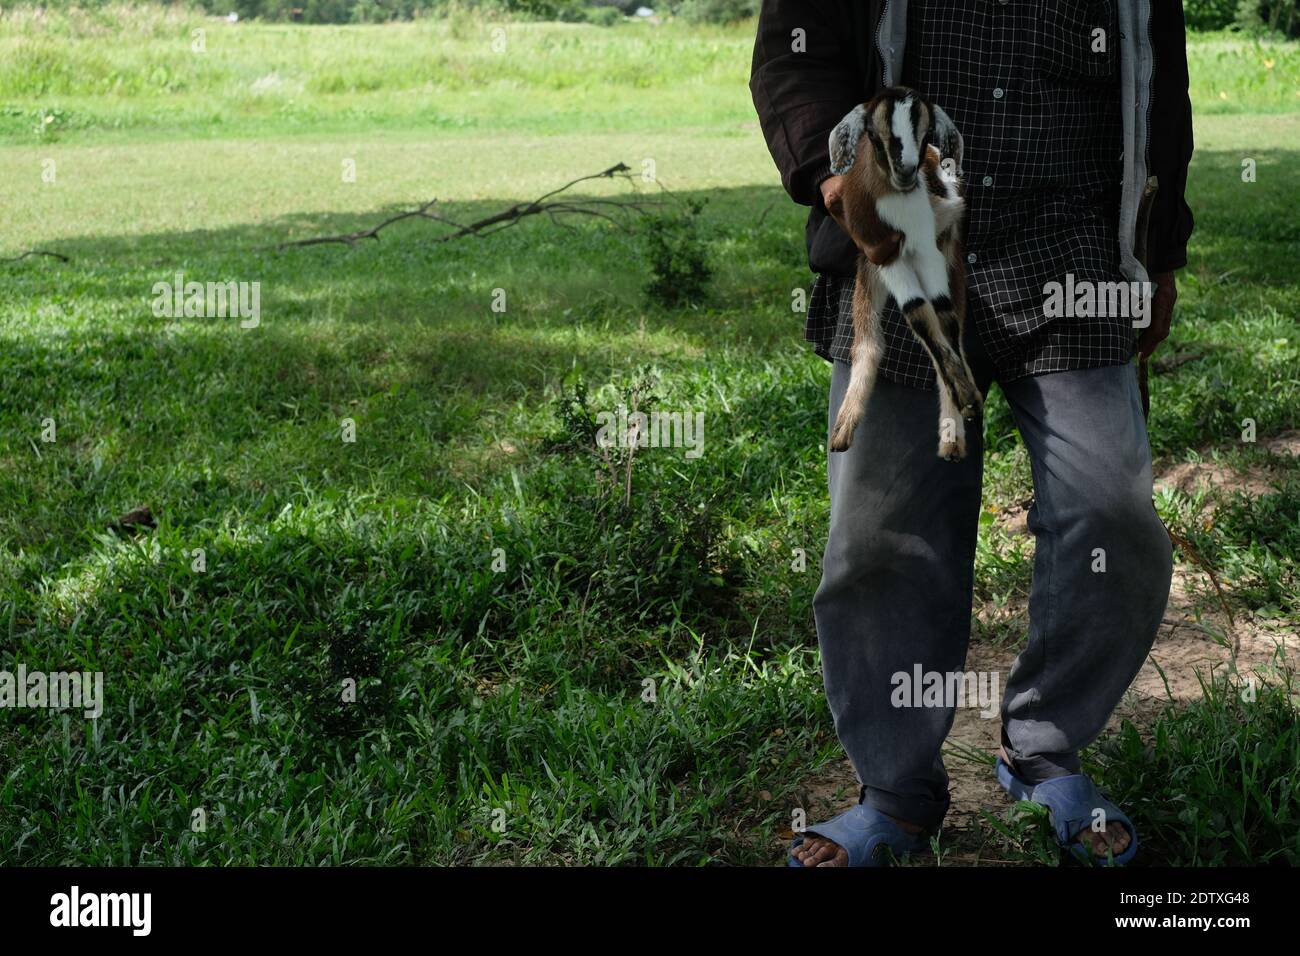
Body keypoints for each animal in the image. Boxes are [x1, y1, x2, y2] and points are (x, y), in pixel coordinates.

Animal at [826, 86, 982, 460]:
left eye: (926, 135)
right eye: (871, 134)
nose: (908, 171)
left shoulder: (926, 249)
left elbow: (941, 315)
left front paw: (967, 398)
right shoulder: (885, 255)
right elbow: (916, 314)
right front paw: (965, 397)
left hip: (949, 256)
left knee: (950, 317)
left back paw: (952, 440)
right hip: (869, 270)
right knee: (868, 340)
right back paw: (842, 429)